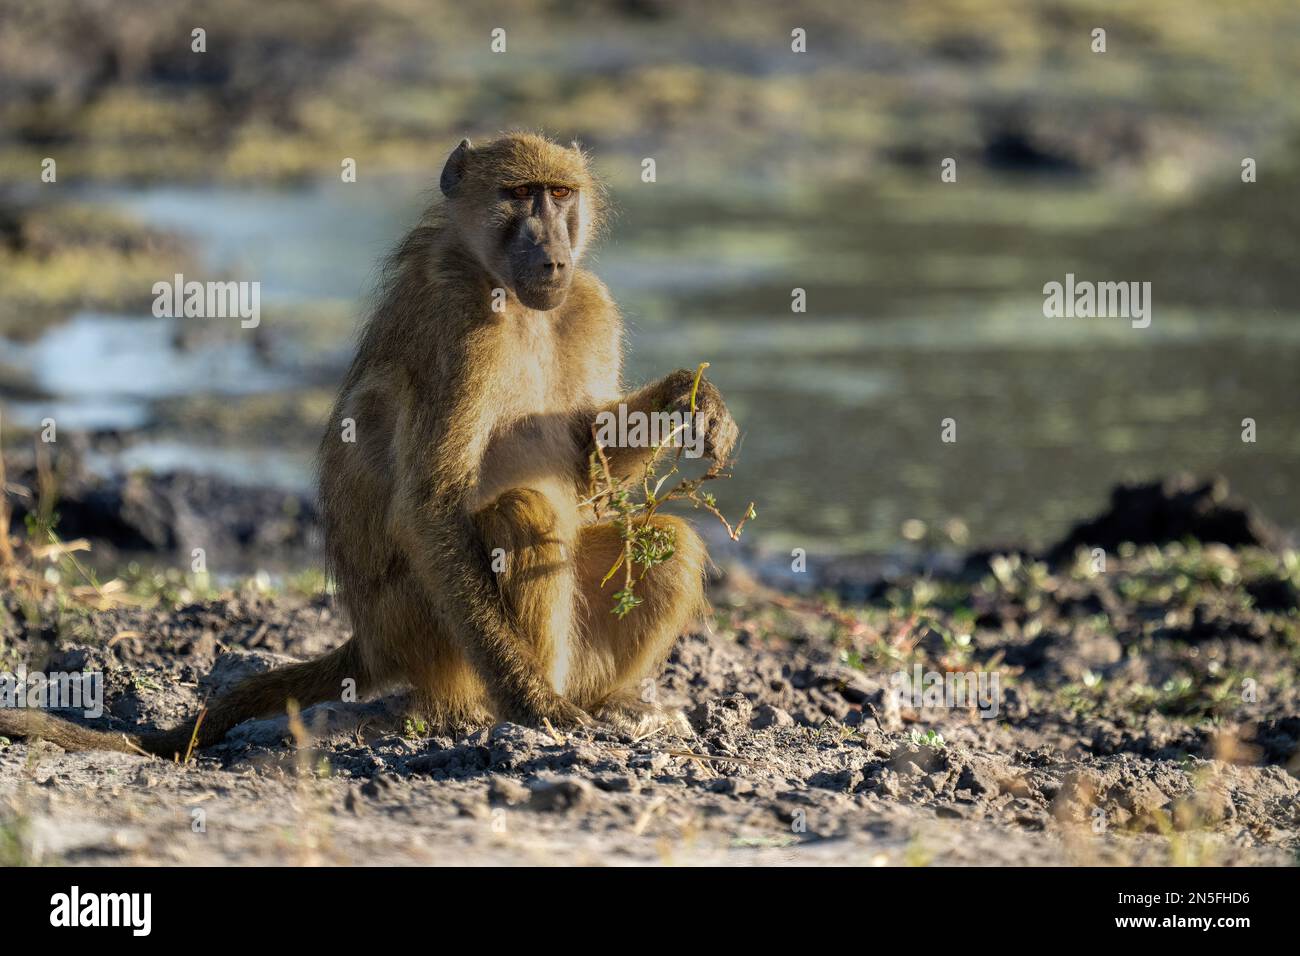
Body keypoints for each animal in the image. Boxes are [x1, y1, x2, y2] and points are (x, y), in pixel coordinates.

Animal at [0, 132, 739, 756]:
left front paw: (691, 397)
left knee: (669, 544)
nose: (553, 254)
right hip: (421, 630)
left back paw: (608, 703)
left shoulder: (589, 304)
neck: (504, 289)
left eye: (560, 195)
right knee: (525, 515)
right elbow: (431, 505)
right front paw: (532, 703)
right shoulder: (461, 332)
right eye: (519, 193)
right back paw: (521, 705)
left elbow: (590, 464)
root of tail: (370, 645)